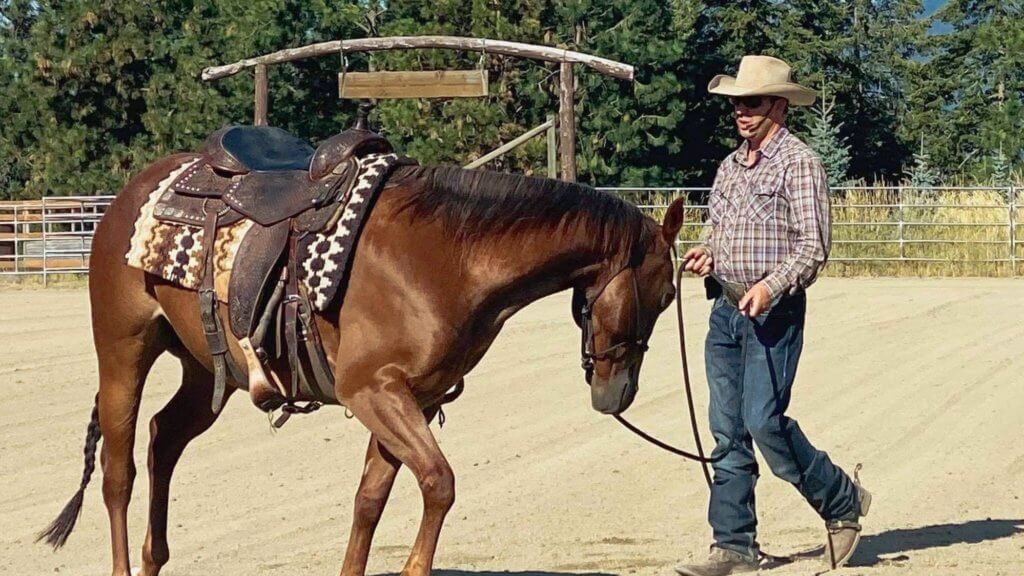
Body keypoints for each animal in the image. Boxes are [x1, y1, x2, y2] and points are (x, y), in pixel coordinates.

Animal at [40, 152, 688, 576]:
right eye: (662, 294)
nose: (618, 394)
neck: (447, 256)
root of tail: (130, 196)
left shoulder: (408, 398)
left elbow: (370, 500)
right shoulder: (373, 392)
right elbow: (439, 484)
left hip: (205, 373)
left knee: (163, 439)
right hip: (123, 353)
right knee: (118, 471)